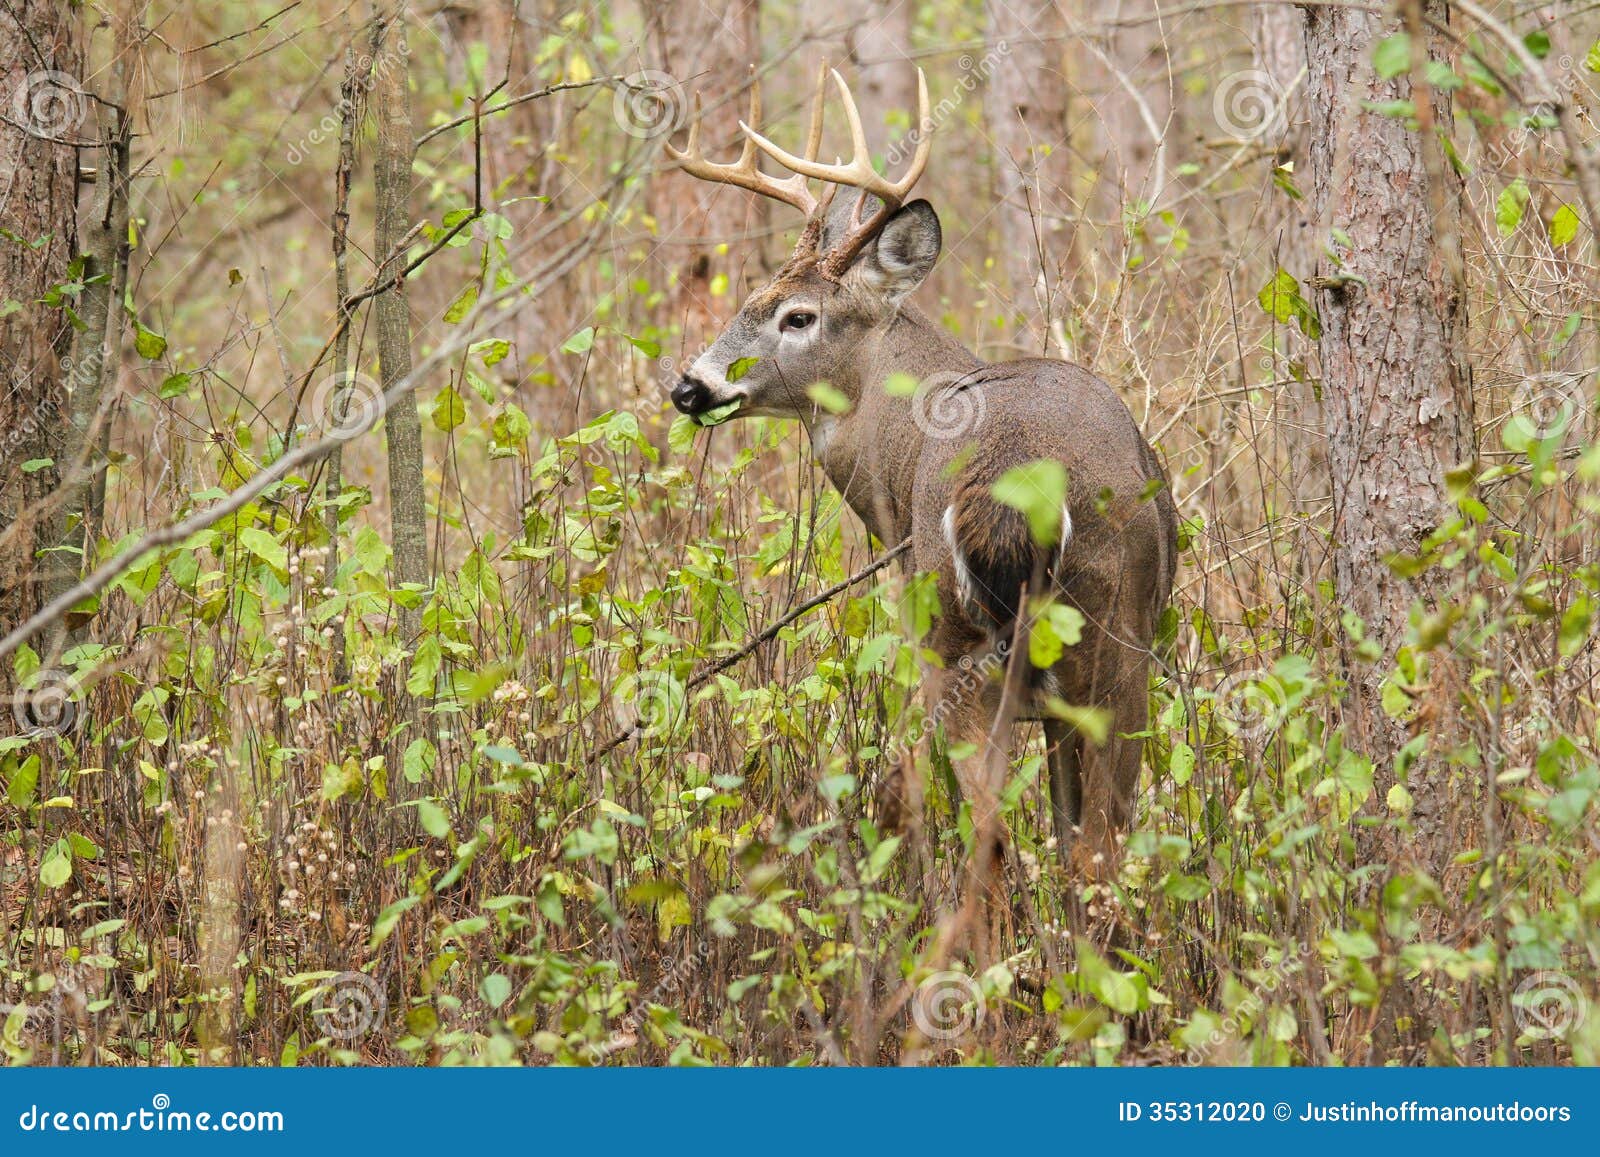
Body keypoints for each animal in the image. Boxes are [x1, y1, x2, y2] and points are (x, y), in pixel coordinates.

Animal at [664, 66, 1178, 883]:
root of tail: (1011, 494)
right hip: (1098, 647)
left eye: (796, 316)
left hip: (965, 646)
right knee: (1087, 846)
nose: (689, 388)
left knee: (997, 834)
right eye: (750, 301)